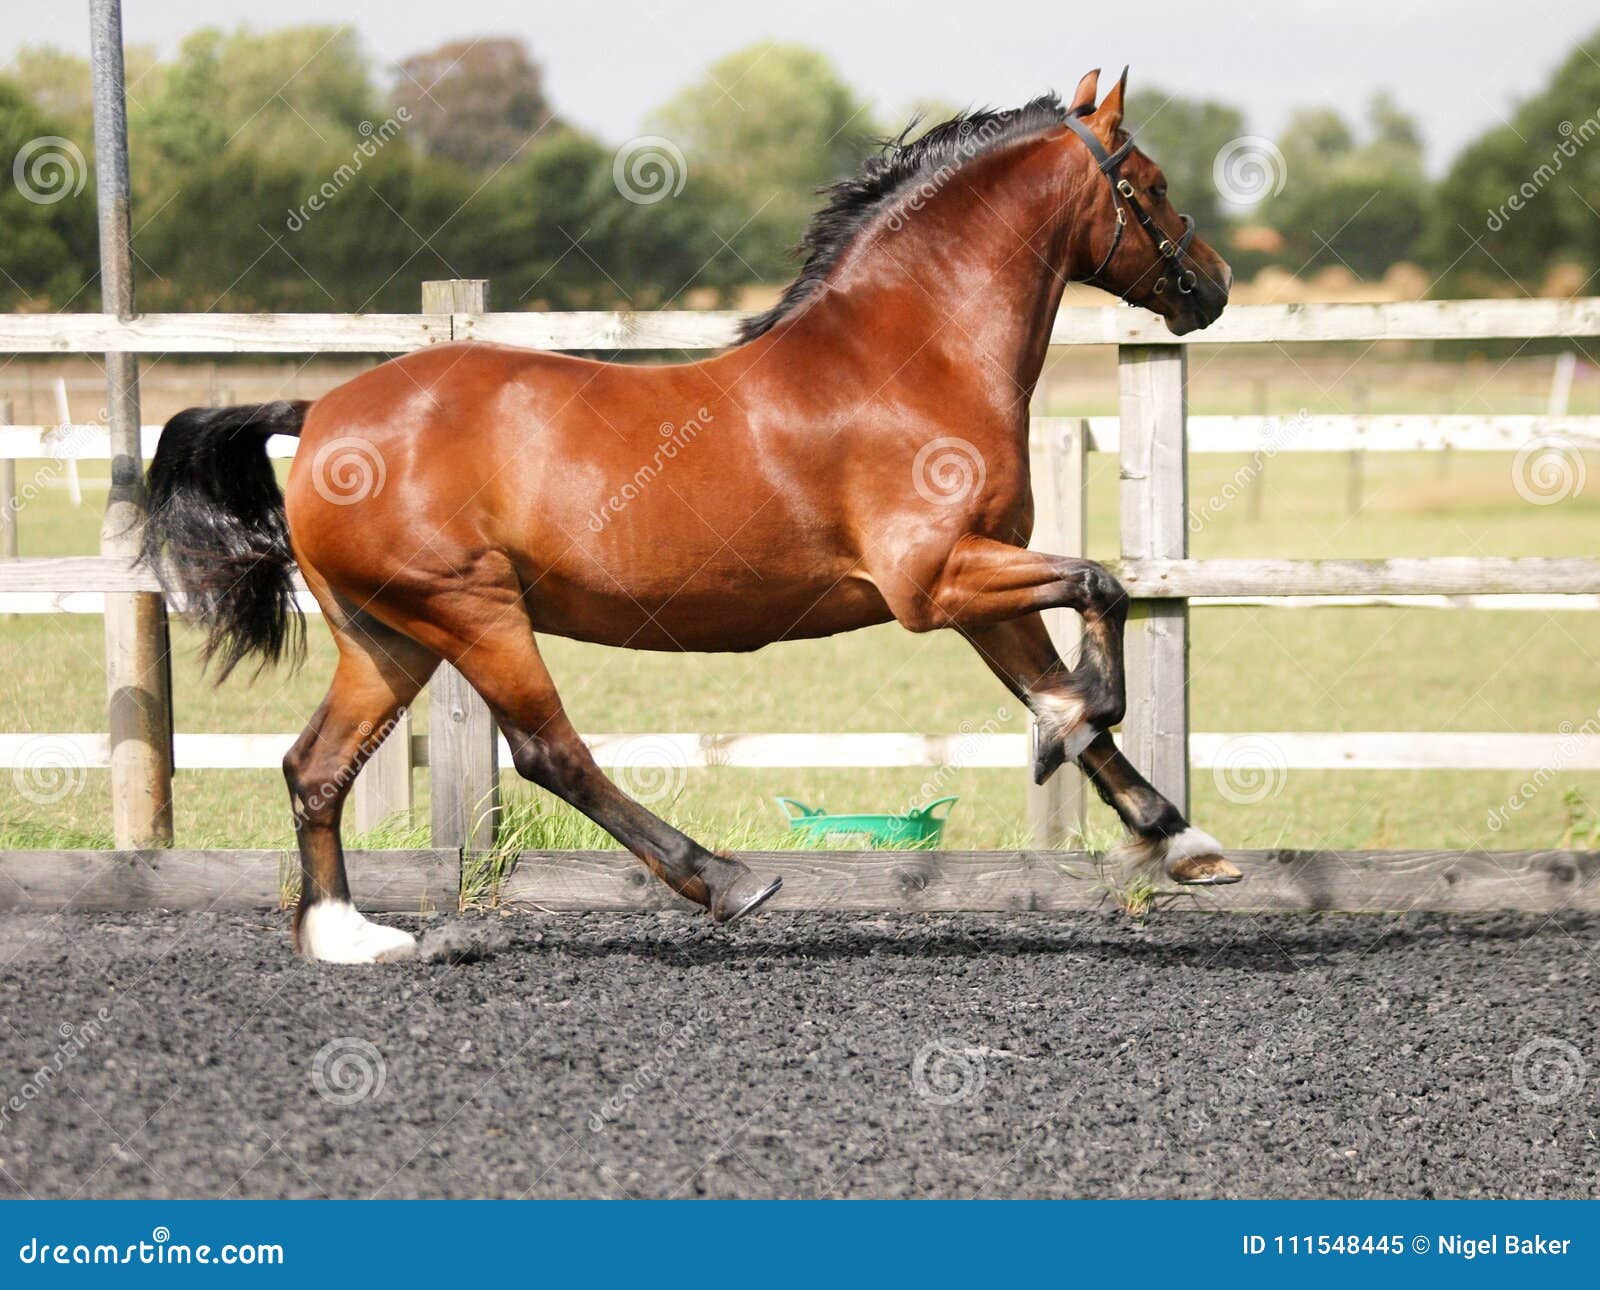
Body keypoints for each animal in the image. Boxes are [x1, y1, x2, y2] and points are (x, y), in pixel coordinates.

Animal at [141, 68, 1237, 963]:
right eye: (1149, 180)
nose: (1216, 286)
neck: (909, 359)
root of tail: (318, 412)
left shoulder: (981, 578)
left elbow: (1059, 675)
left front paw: (1184, 841)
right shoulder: (933, 578)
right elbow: (1104, 594)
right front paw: (1074, 731)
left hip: (388, 634)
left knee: (314, 768)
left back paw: (347, 937)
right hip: (472, 611)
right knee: (550, 754)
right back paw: (725, 879)